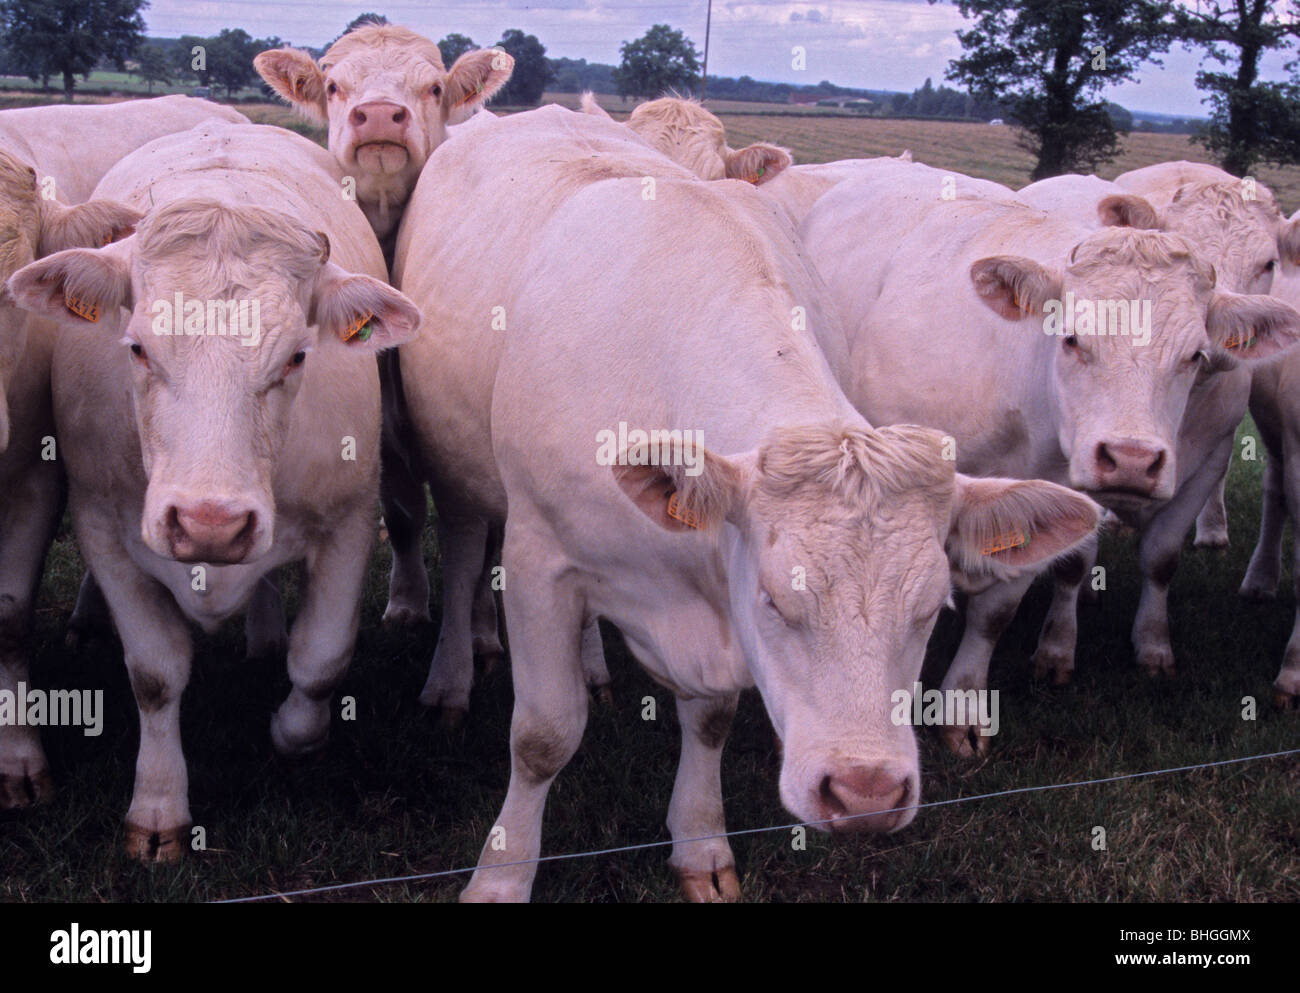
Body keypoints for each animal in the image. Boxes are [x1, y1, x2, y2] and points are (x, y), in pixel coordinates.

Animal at [6, 120, 420, 858]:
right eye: (137, 347)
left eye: (297, 356)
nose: (209, 522)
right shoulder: (102, 524)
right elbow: (154, 672)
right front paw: (158, 808)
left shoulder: (349, 519)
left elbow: (321, 659)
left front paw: (291, 734)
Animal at [392, 106, 1101, 901]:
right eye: (774, 599)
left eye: (930, 608)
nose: (866, 793)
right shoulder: (539, 559)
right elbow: (544, 735)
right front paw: (502, 876)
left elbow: (711, 719)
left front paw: (701, 843)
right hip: (452, 463)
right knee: (459, 557)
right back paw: (451, 676)